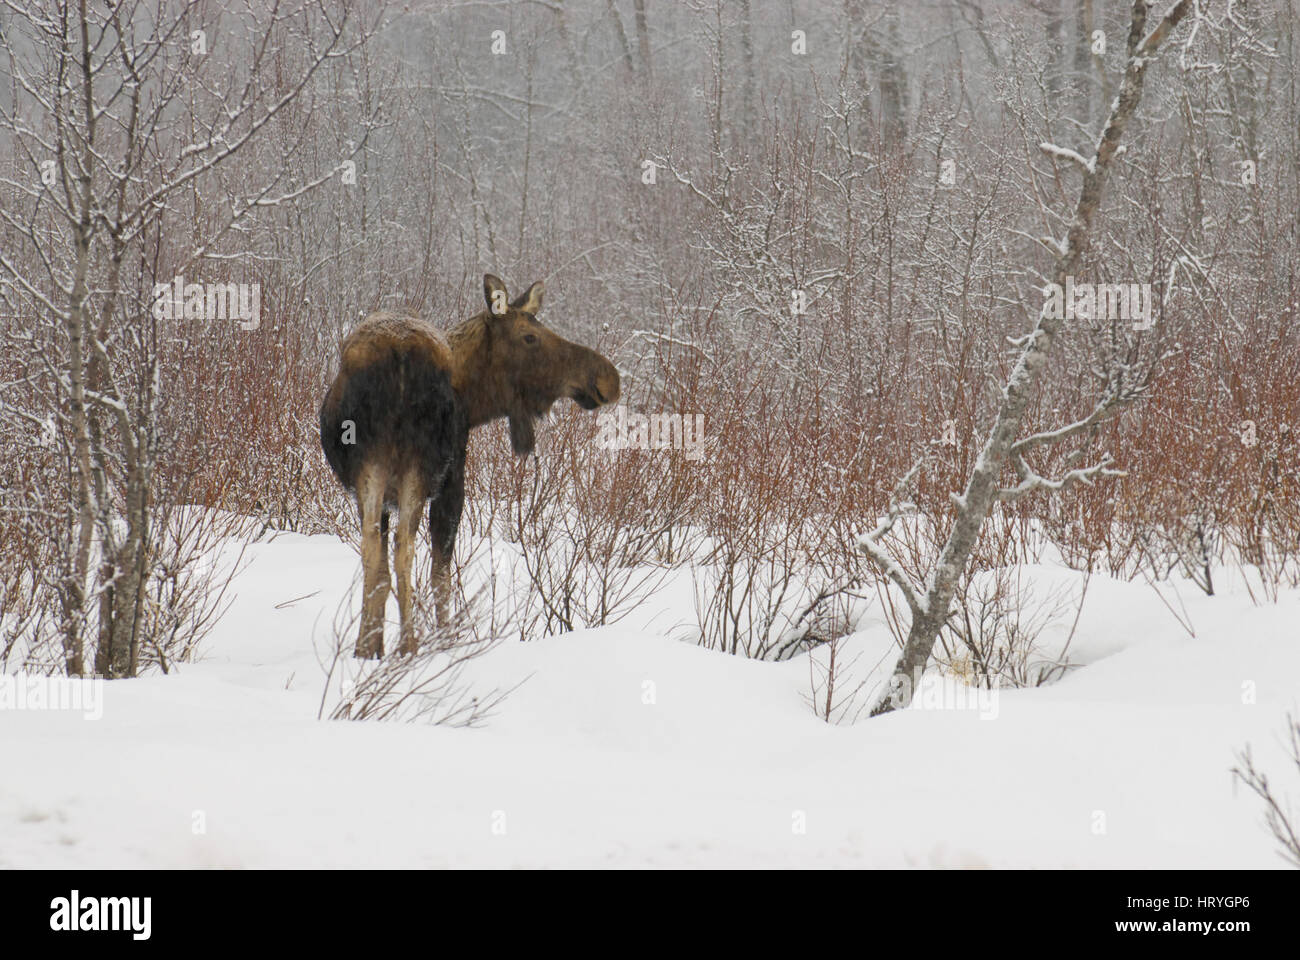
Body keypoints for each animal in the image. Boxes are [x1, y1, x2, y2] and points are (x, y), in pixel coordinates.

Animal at [319, 274, 621, 658]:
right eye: (530, 336)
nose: (608, 378)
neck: (474, 400)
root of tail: (398, 356)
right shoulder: (452, 479)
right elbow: (441, 572)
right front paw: (445, 642)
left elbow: (383, 566)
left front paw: (372, 648)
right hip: (418, 466)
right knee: (406, 548)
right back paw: (410, 646)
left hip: (371, 466)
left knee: (373, 549)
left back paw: (368, 648)